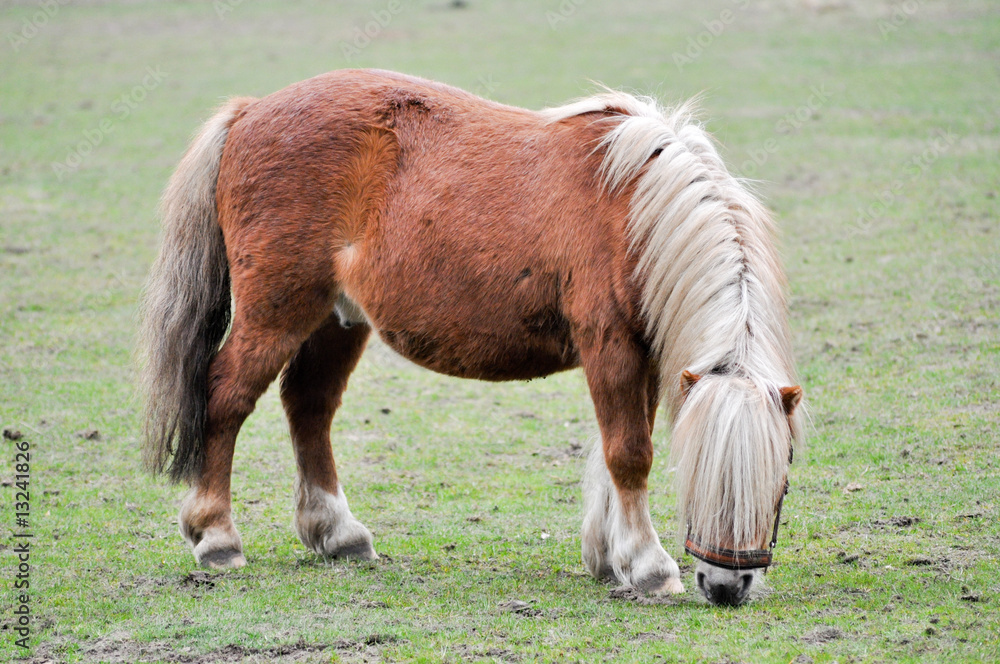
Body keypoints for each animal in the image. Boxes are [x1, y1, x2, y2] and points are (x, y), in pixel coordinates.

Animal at [138, 69, 803, 606]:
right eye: (706, 472)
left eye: (780, 478)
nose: (728, 586)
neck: (633, 211)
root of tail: (250, 112)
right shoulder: (611, 346)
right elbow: (628, 453)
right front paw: (647, 566)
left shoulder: (639, 353)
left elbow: (614, 451)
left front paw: (610, 555)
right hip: (276, 311)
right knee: (226, 398)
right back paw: (217, 538)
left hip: (335, 319)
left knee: (309, 408)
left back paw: (338, 533)